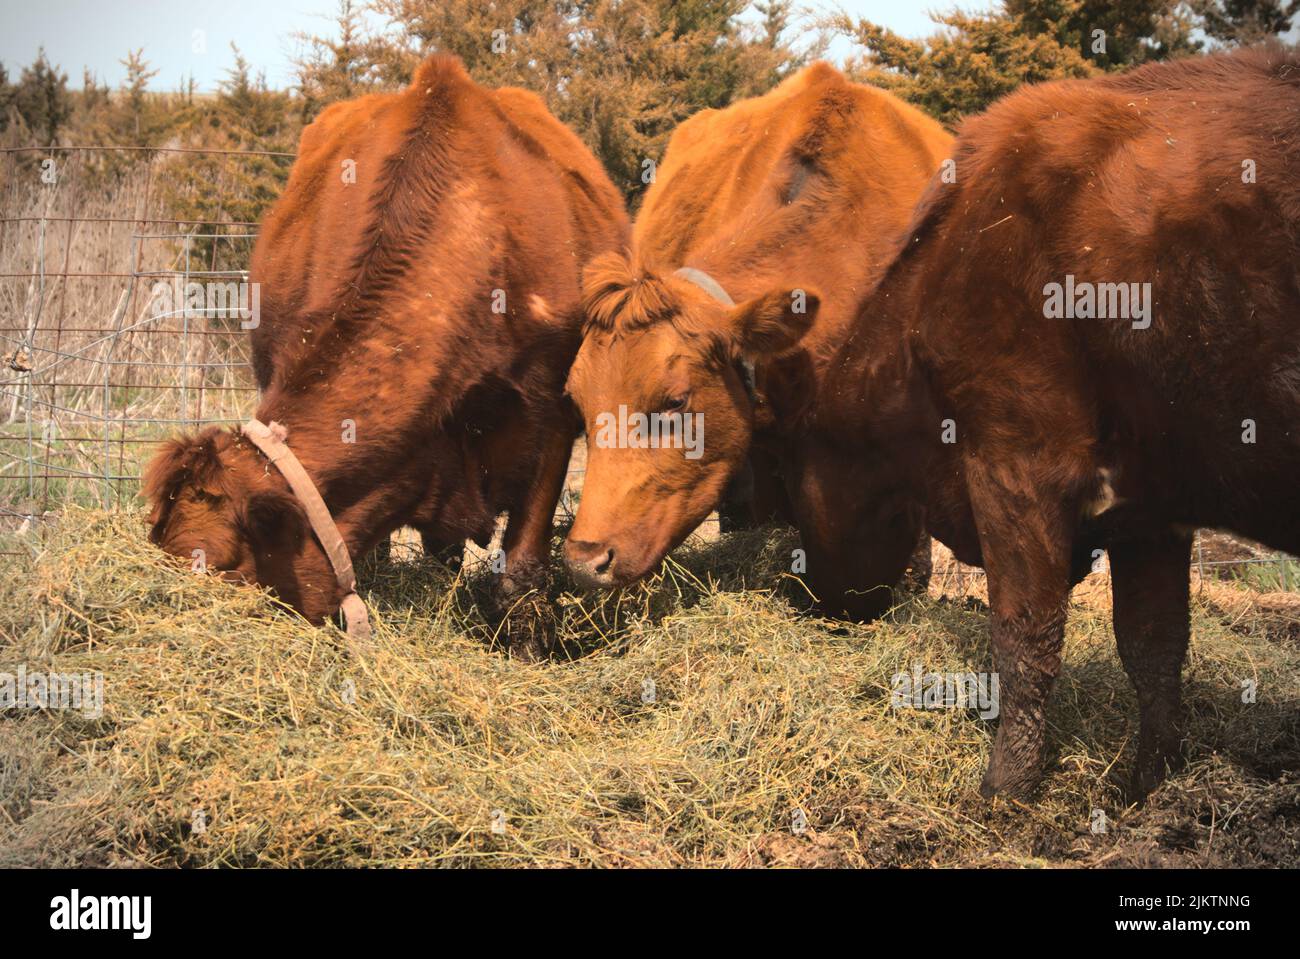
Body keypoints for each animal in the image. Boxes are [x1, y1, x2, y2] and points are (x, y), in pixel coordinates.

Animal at [784, 45, 1300, 798]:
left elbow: (1024, 638)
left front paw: (1004, 790)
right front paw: (1148, 783)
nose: (805, 599)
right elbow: (1153, 644)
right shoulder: (1151, 503)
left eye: (789, 499)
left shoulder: (1017, 455)